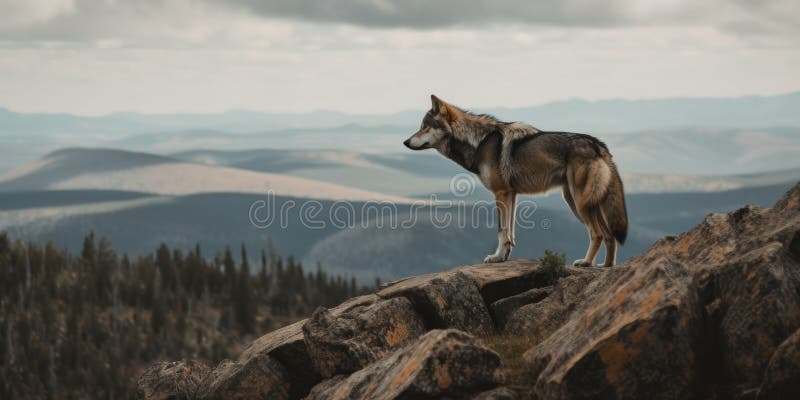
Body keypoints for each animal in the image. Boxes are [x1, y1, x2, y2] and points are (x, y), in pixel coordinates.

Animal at [404, 95, 628, 267]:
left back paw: (586, 263)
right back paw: (606, 266)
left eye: (424, 127)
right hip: (584, 202)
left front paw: (496, 258)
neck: (479, 141)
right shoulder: (511, 195)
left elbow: (501, 231)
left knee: (597, 234)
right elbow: (510, 233)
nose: (405, 142)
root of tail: (599, 145)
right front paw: (504, 257)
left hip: (579, 203)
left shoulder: (500, 193)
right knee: (610, 236)